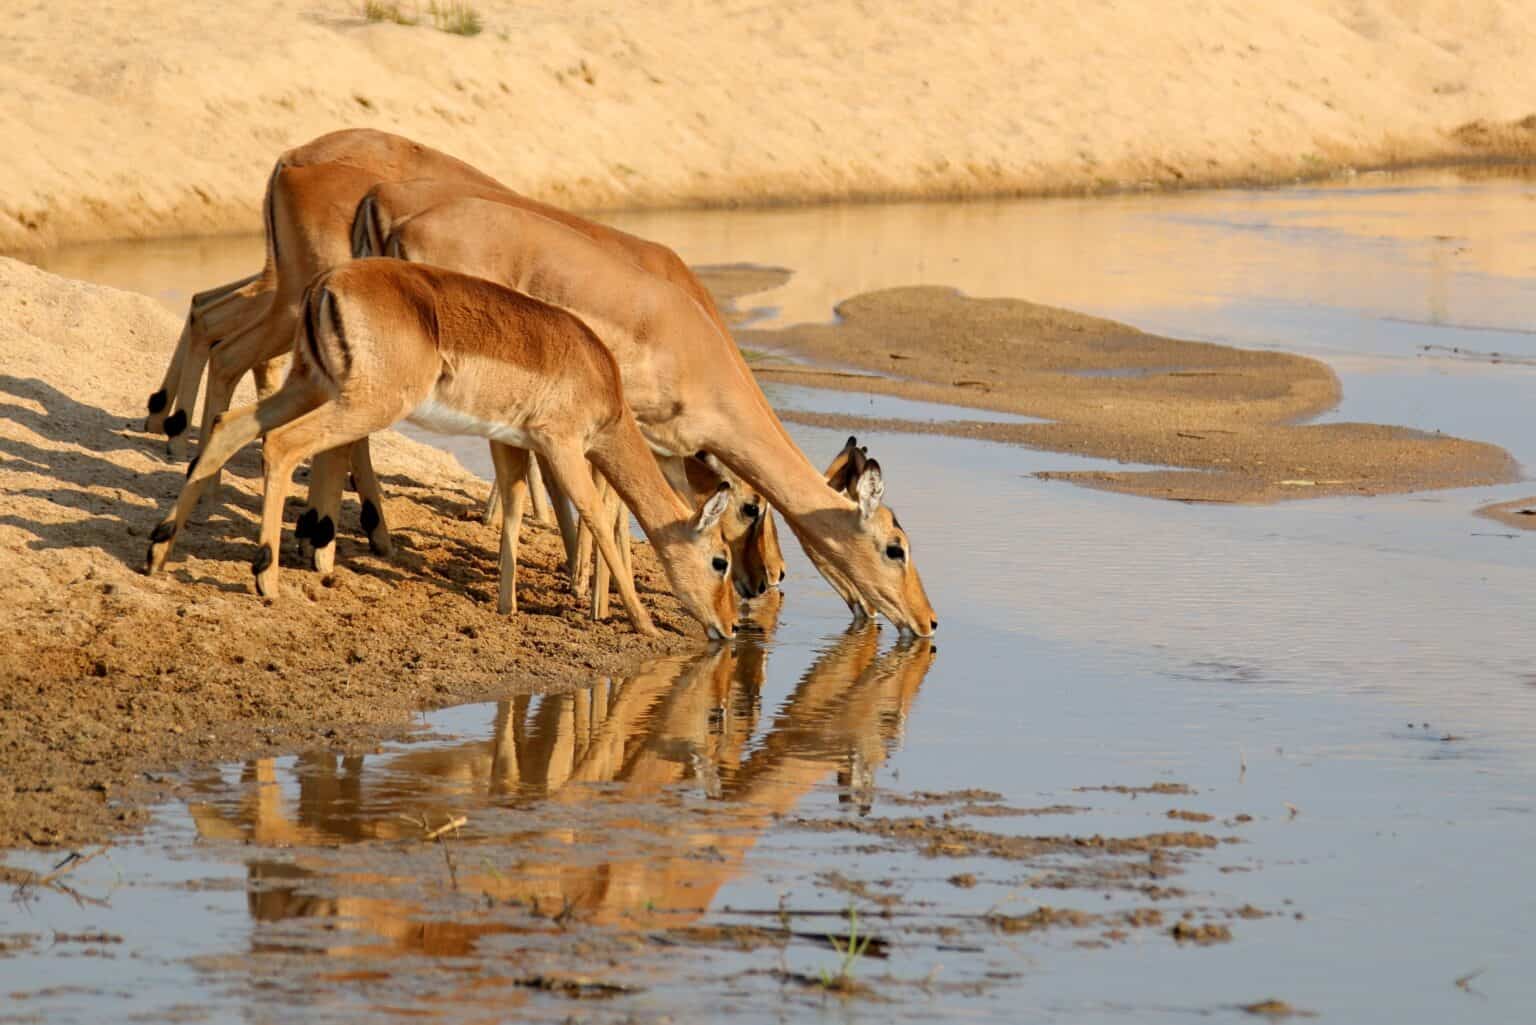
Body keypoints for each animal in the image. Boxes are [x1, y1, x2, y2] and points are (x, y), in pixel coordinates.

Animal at [143, 259, 741, 642]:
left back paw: (158, 555)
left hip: (311, 385)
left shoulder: (509, 440)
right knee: (282, 444)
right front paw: (642, 622)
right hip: (362, 404)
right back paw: (265, 579)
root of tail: (324, 283)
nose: (730, 627)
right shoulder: (563, 444)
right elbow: (593, 515)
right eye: (721, 560)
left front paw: (507, 607)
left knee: (230, 427)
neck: (603, 385)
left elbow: (514, 512)